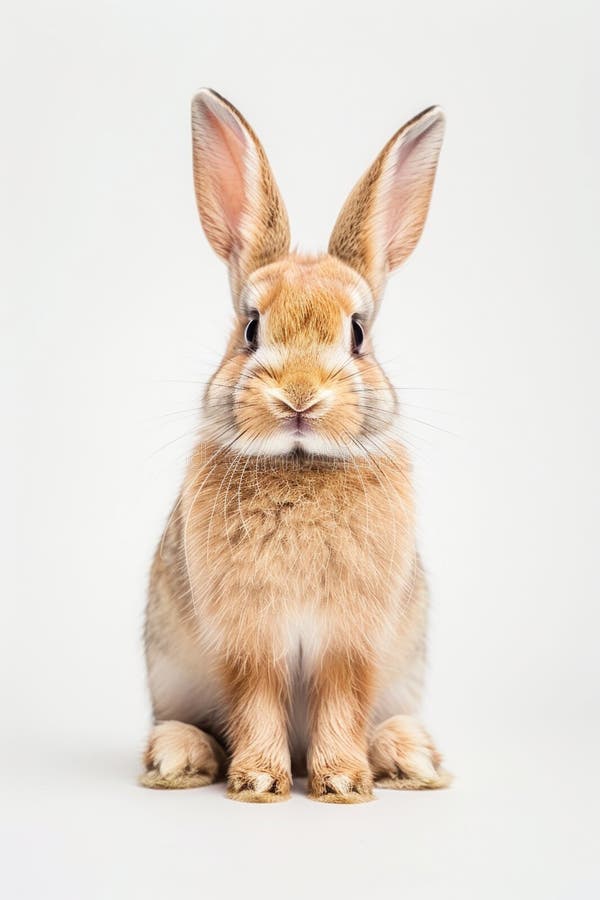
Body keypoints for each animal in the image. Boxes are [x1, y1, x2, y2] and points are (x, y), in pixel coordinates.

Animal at [141, 88, 450, 803]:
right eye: (251, 328)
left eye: (358, 333)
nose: (300, 398)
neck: (301, 465)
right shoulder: (250, 640)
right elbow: (256, 701)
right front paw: (259, 782)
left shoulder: (350, 641)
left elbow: (341, 700)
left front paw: (341, 784)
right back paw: (180, 757)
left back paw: (408, 758)